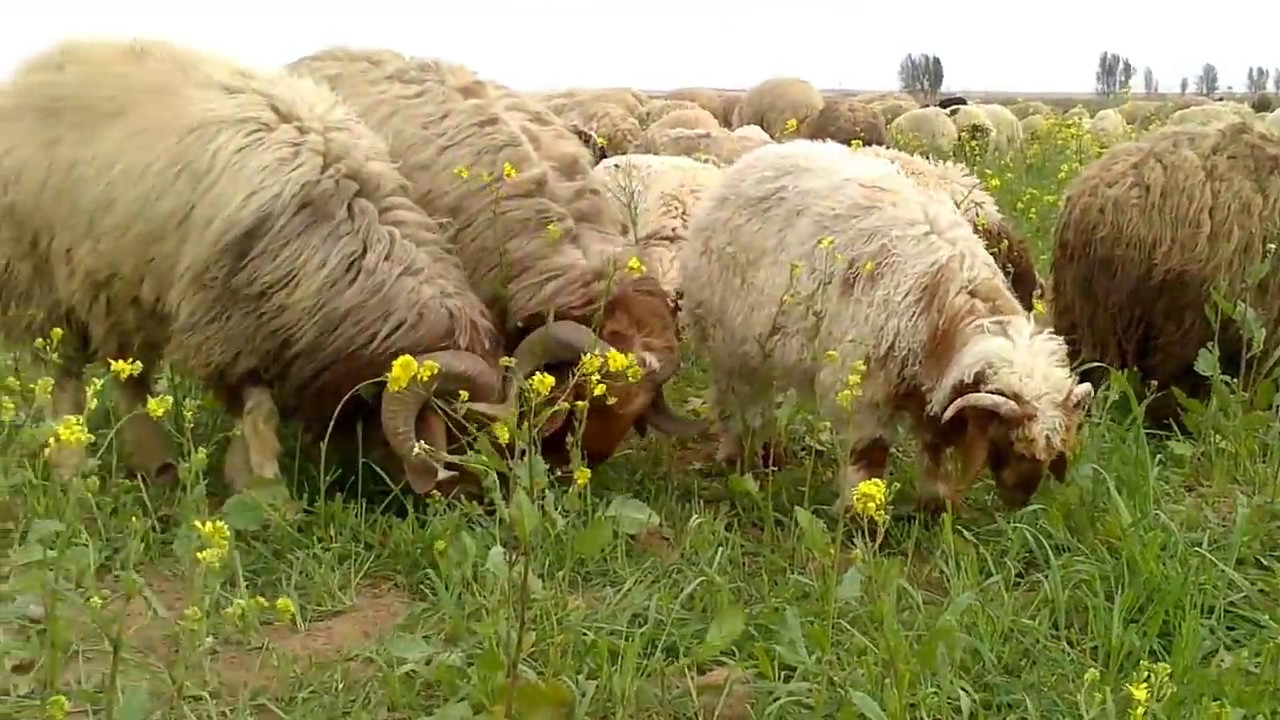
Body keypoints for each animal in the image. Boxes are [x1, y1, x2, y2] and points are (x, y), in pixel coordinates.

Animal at [0, 38, 508, 498]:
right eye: (461, 426)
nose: (477, 500)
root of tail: (32, 71)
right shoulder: (230, 328)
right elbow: (258, 414)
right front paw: (269, 494)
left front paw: (247, 482)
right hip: (44, 285)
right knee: (64, 380)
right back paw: (71, 473)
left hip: (122, 289)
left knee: (132, 381)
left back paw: (158, 468)